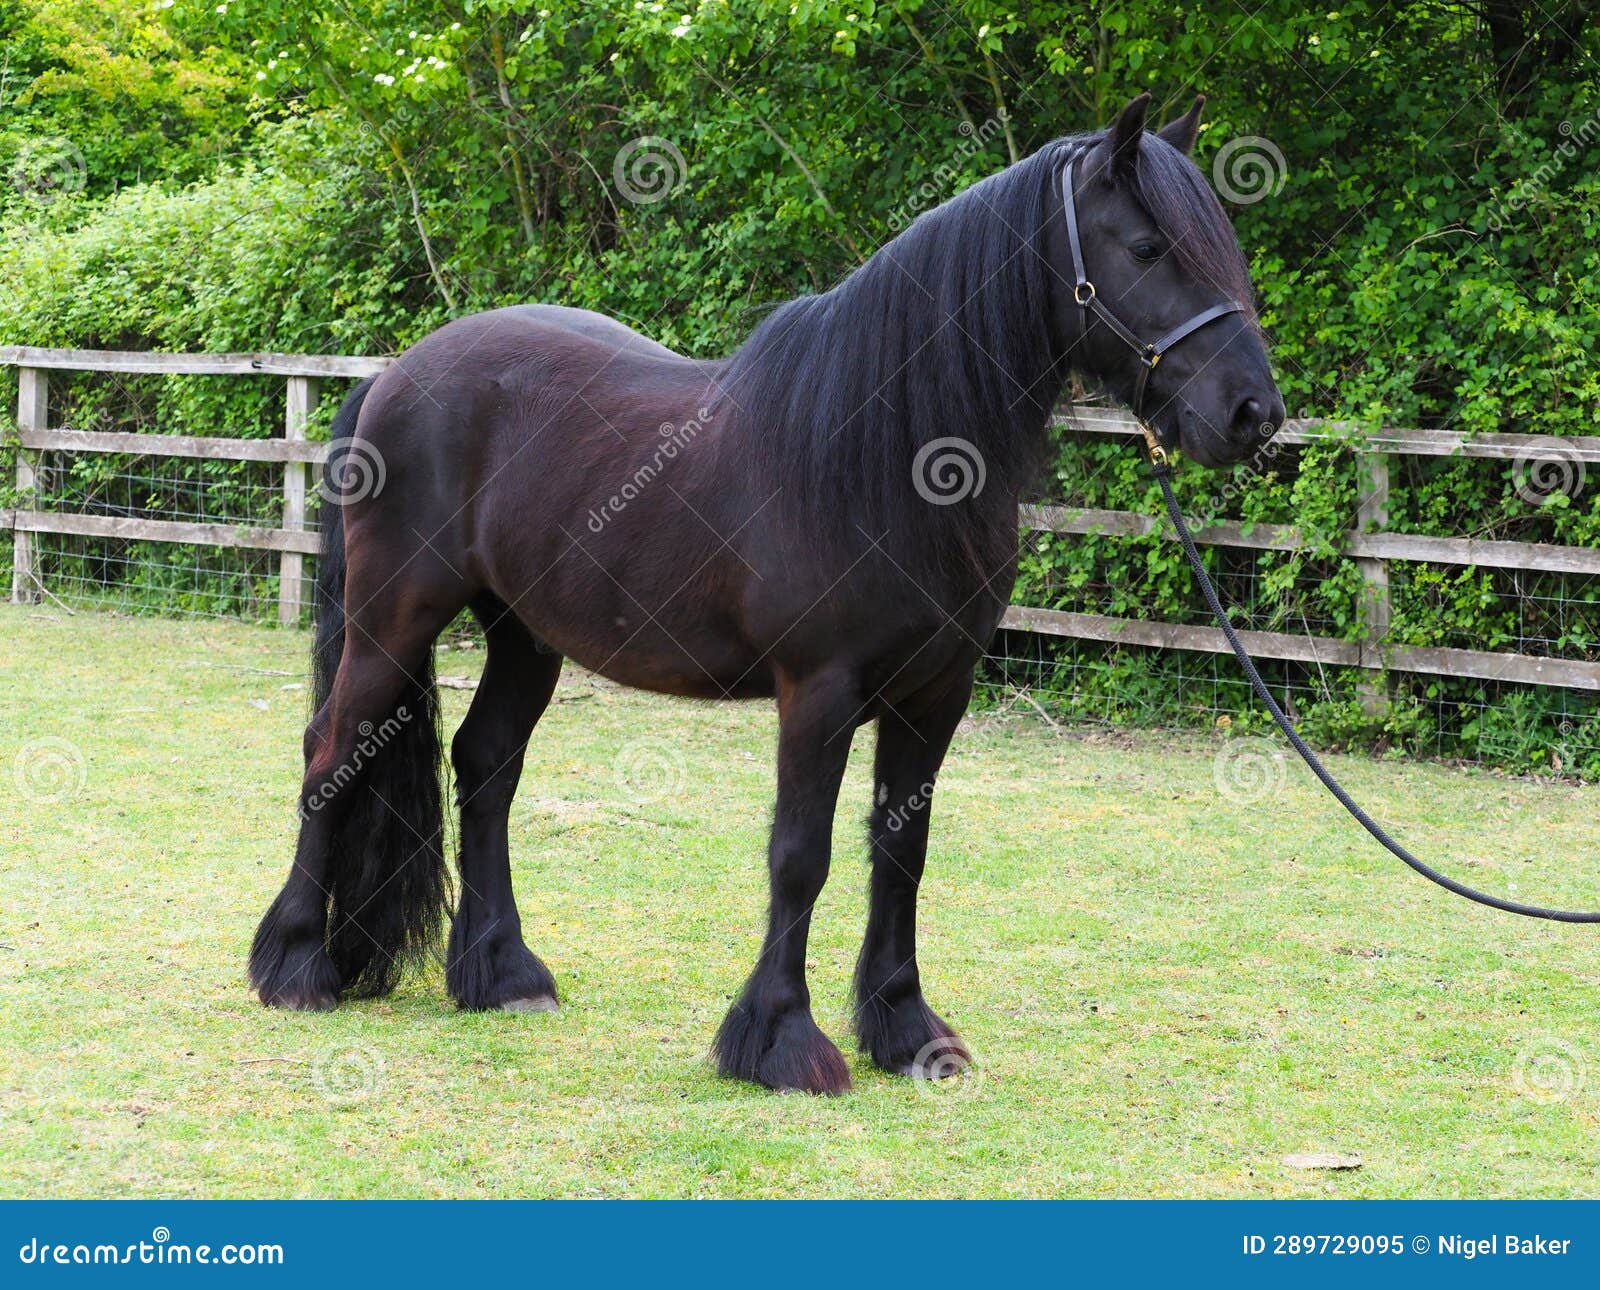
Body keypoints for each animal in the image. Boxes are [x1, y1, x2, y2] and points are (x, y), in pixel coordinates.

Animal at [249, 93, 1285, 1094]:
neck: (891, 455)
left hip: (525, 637)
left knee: (486, 764)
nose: (1254, 414)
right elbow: (801, 855)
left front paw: (906, 1031)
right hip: (394, 619)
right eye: (1147, 248)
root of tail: (395, 374)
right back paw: (297, 966)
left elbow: (900, 850)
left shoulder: (935, 695)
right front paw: (783, 1042)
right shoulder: (817, 692)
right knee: (331, 753)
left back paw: (502, 974)